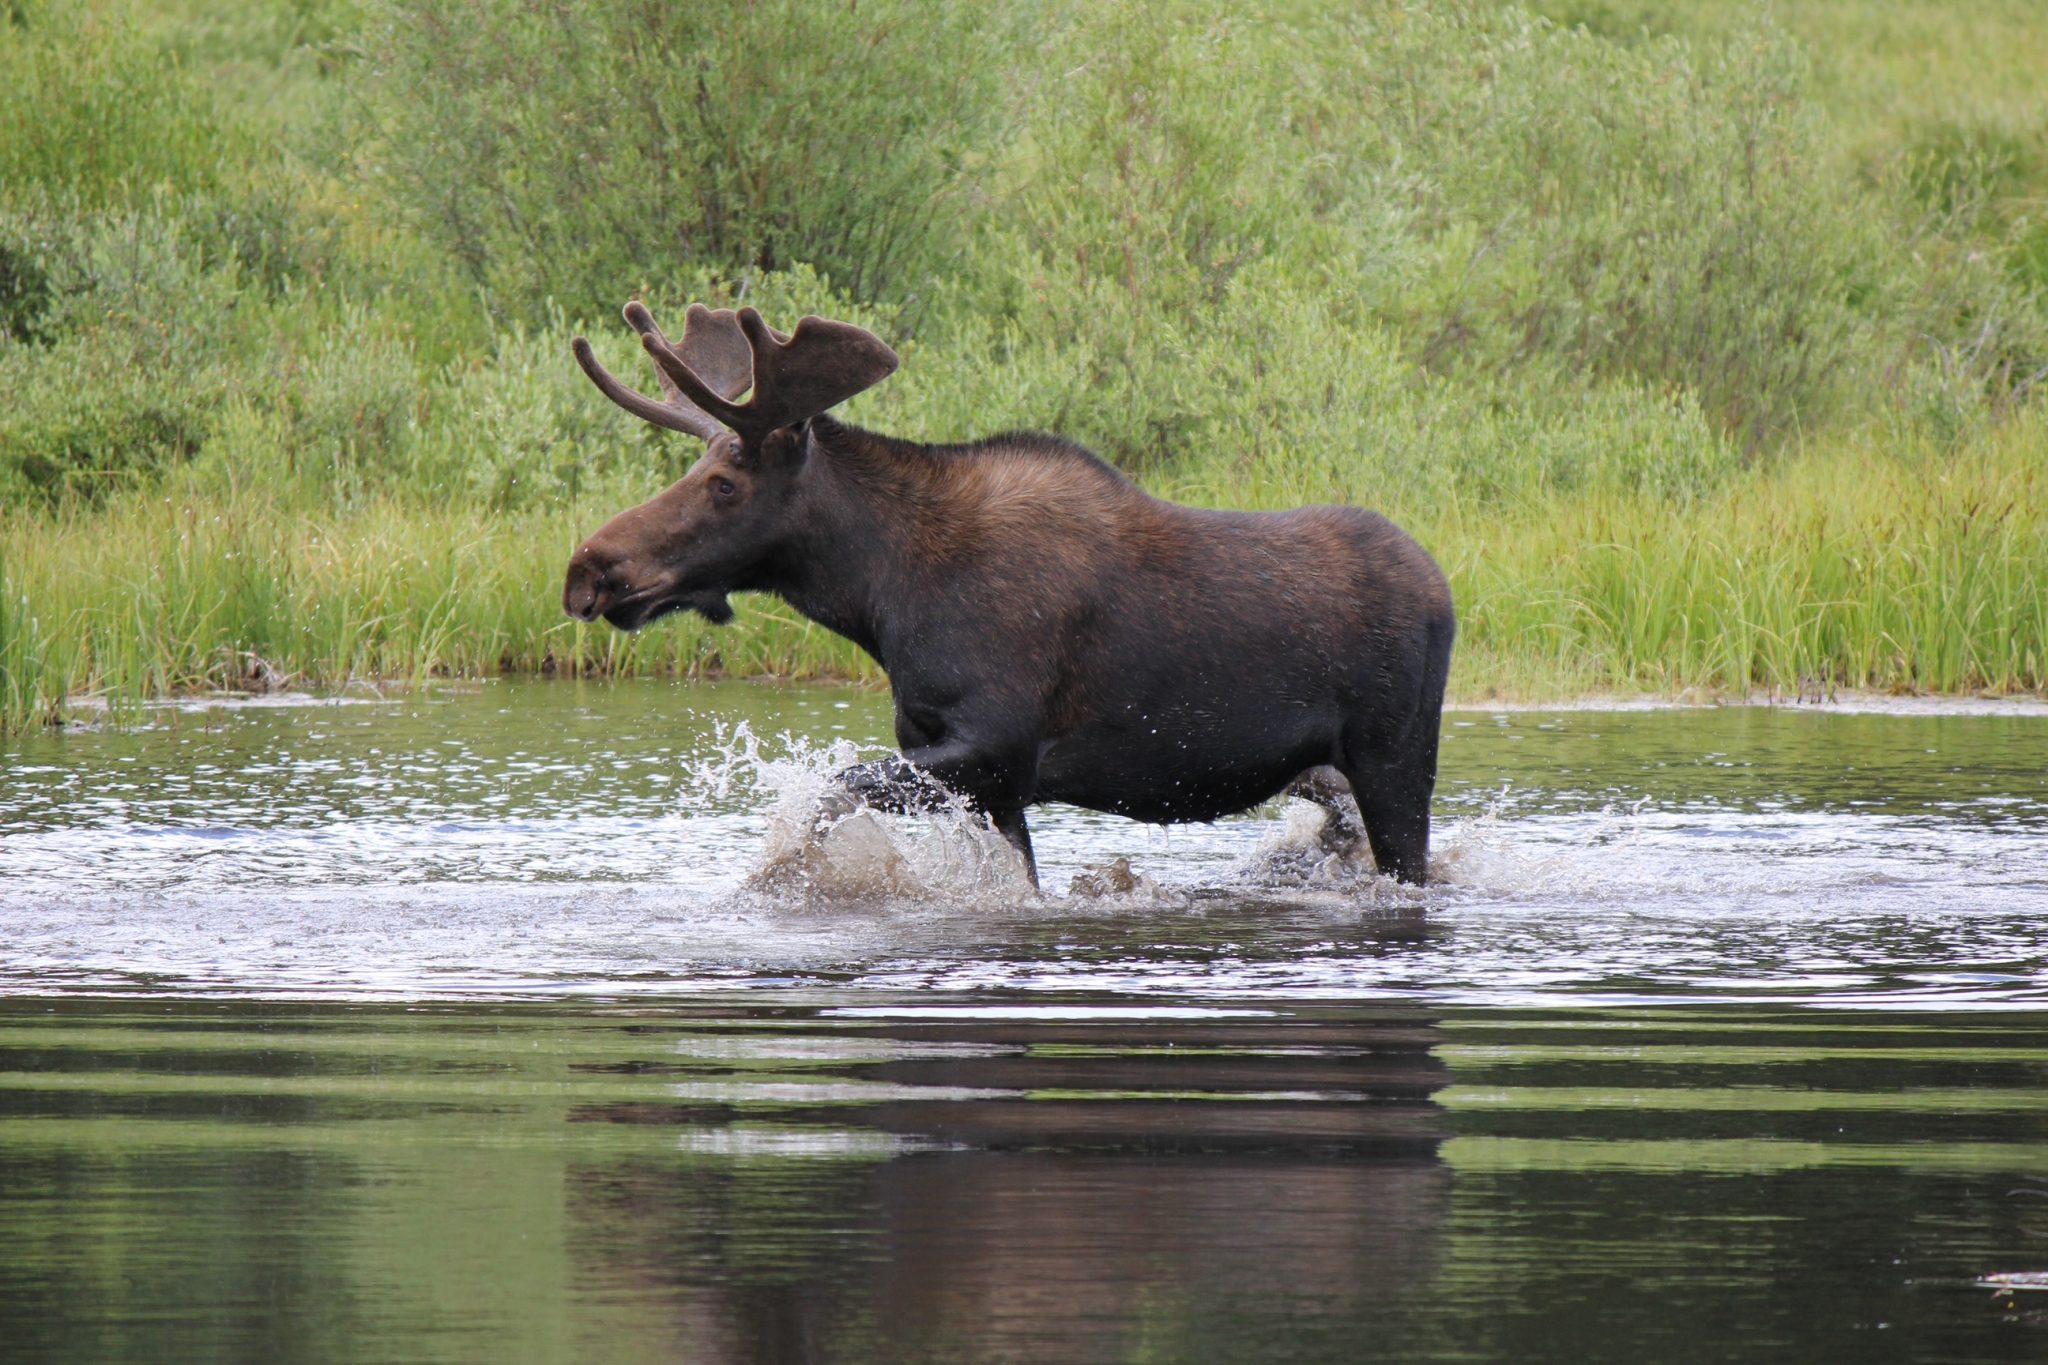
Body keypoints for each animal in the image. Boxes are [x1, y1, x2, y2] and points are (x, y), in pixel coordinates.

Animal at [562, 301, 1456, 886]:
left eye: (724, 484)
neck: (880, 598)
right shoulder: (981, 775)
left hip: (1396, 752)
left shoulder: (994, 745)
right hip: (1323, 767)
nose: (590, 569)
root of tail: (1444, 590)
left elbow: (829, 790)